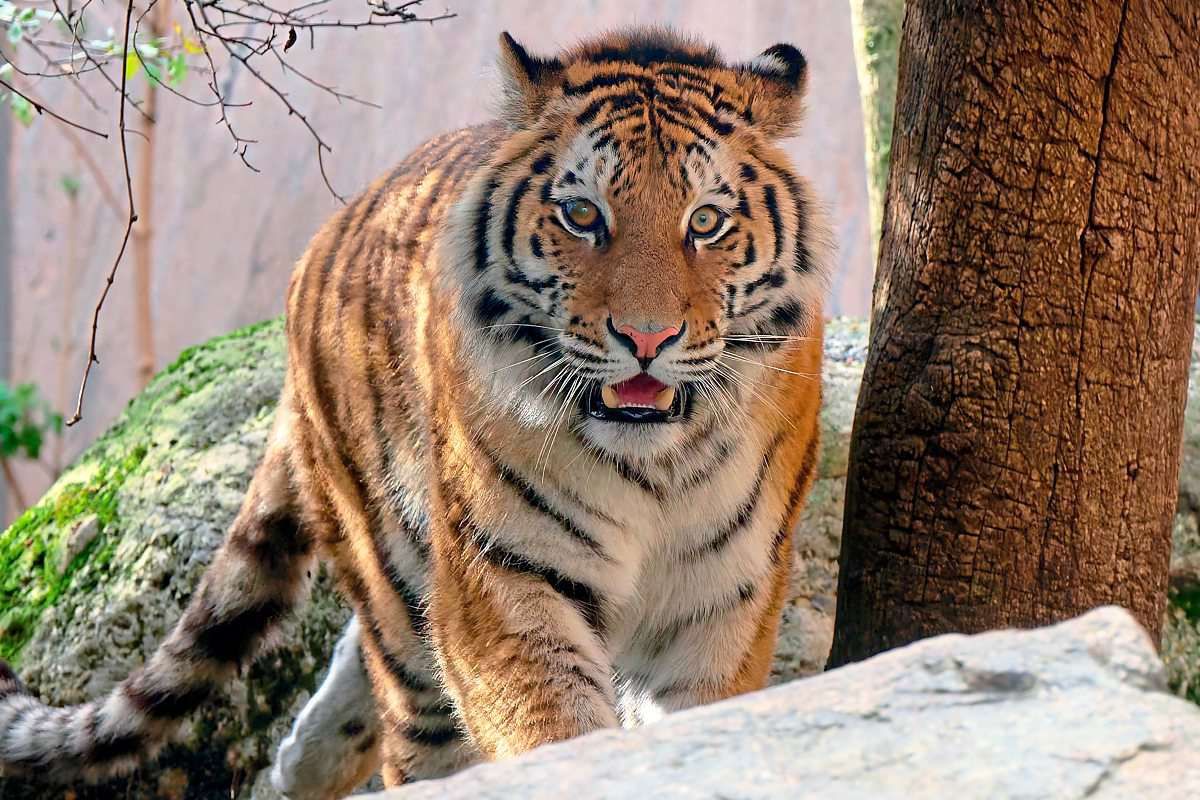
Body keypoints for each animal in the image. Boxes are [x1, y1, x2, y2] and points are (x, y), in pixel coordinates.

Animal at [0, 27, 829, 795]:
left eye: (706, 222)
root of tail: (322, 243)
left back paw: (302, 763)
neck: (654, 463)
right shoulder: (505, 575)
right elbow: (550, 730)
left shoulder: (724, 593)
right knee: (410, 700)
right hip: (390, 553)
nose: (647, 338)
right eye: (582, 214)